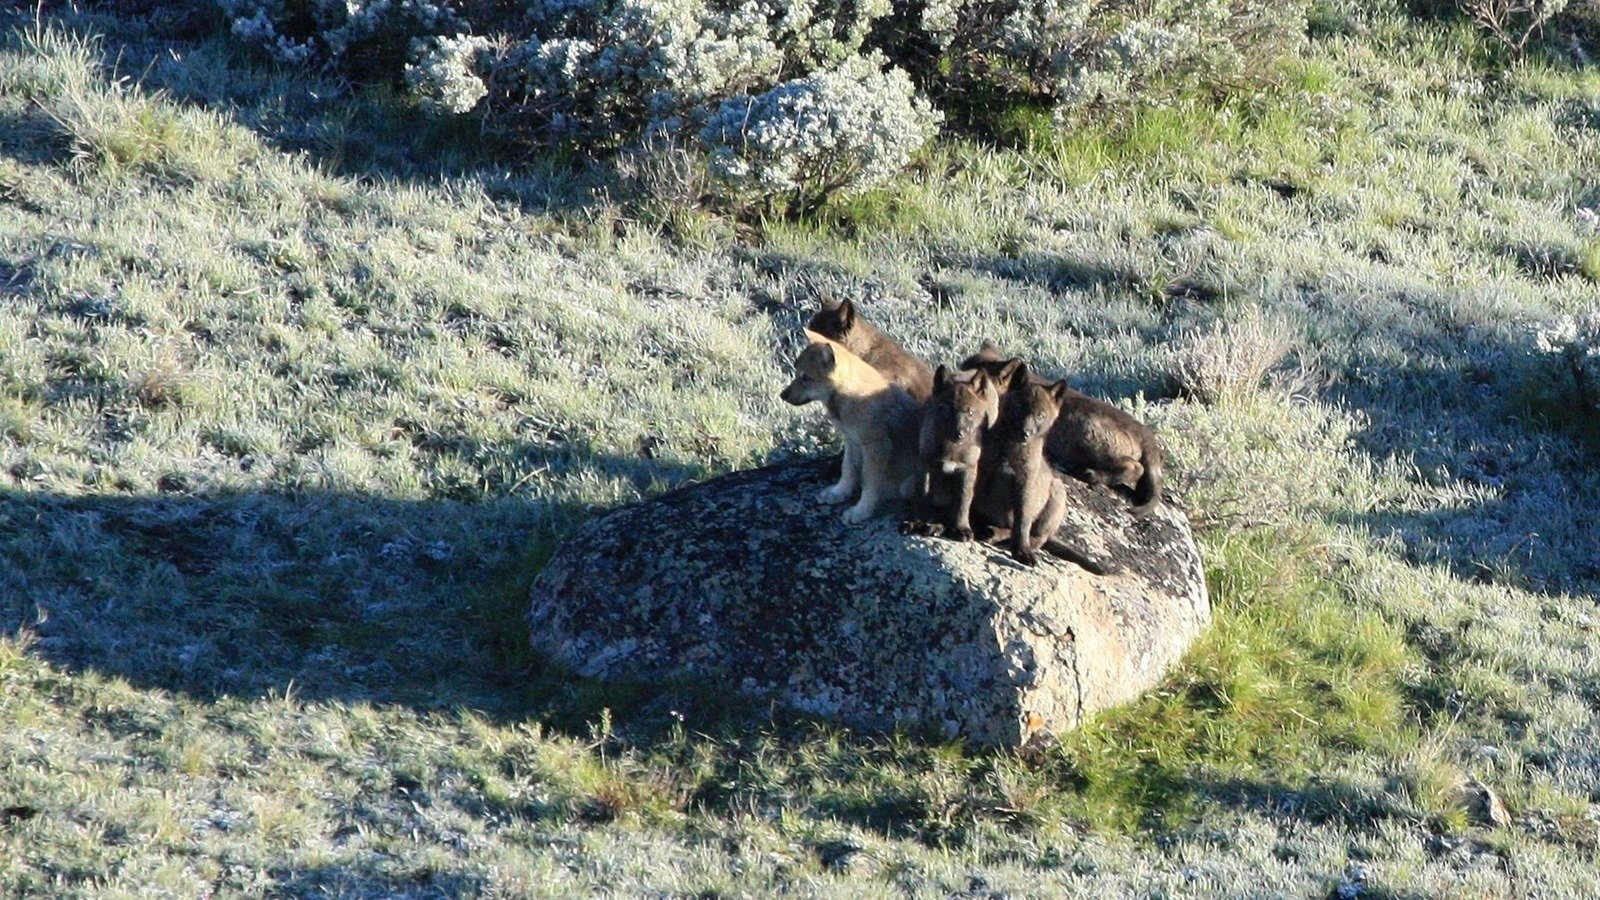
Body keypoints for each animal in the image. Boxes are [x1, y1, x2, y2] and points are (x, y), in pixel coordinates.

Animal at [781, 329, 922, 524]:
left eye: (806, 378)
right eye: (796, 373)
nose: (782, 395)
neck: (848, 395)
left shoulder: (876, 446)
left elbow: (868, 482)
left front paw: (861, 511)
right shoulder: (851, 441)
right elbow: (848, 470)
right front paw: (838, 493)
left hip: (909, 485)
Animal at [961, 341, 1164, 514]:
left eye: (975, 376)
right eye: (963, 367)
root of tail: (1148, 437)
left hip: (1088, 439)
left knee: (1136, 467)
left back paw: (1093, 475)